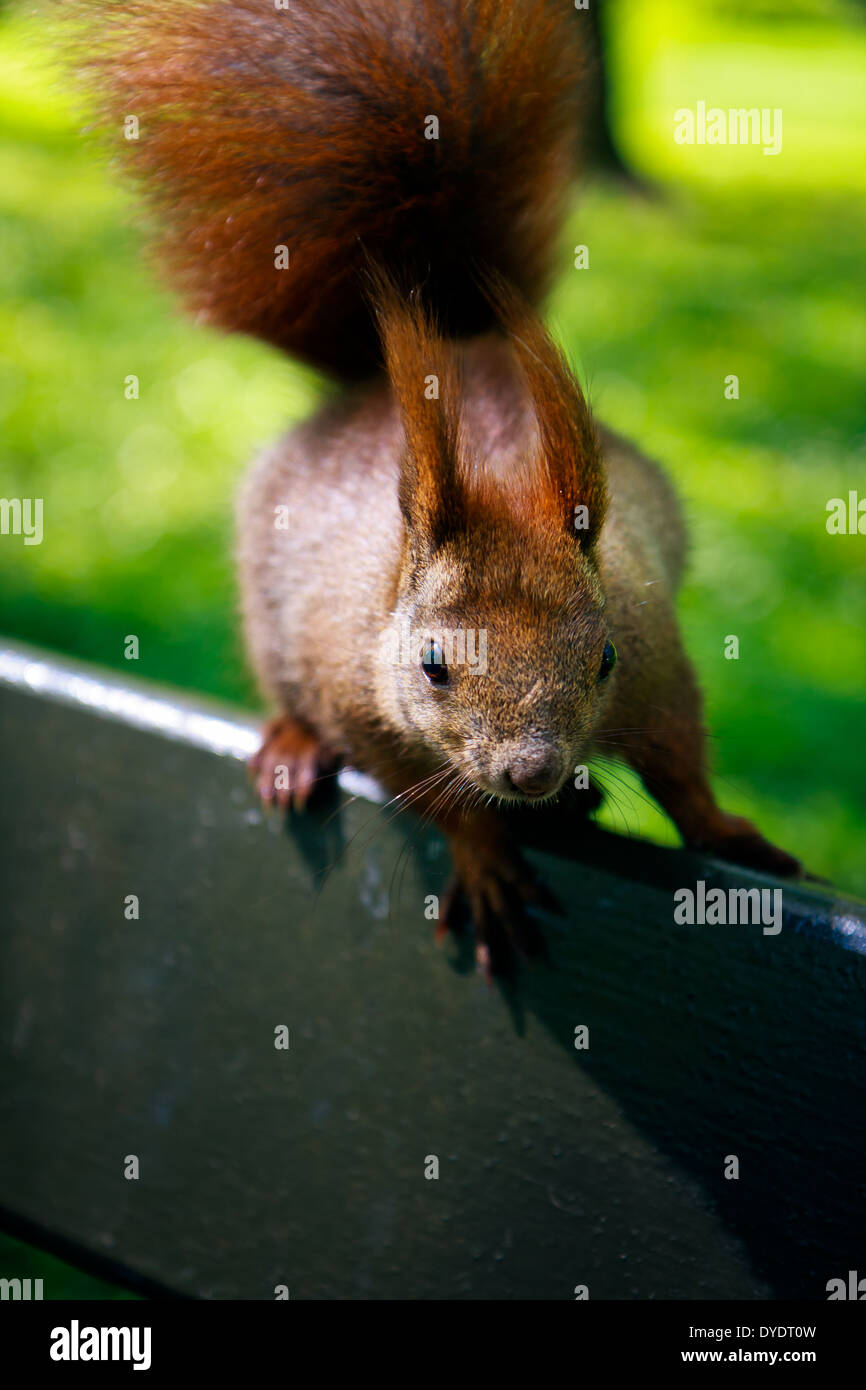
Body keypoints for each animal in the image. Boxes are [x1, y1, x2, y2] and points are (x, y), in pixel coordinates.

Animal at [73, 0, 802, 973]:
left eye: (603, 659)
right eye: (432, 666)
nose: (531, 771)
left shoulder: (655, 660)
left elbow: (682, 765)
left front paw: (724, 833)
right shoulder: (363, 701)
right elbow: (433, 796)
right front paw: (486, 858)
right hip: (272, 623)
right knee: (288, 693)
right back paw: (294, 750)